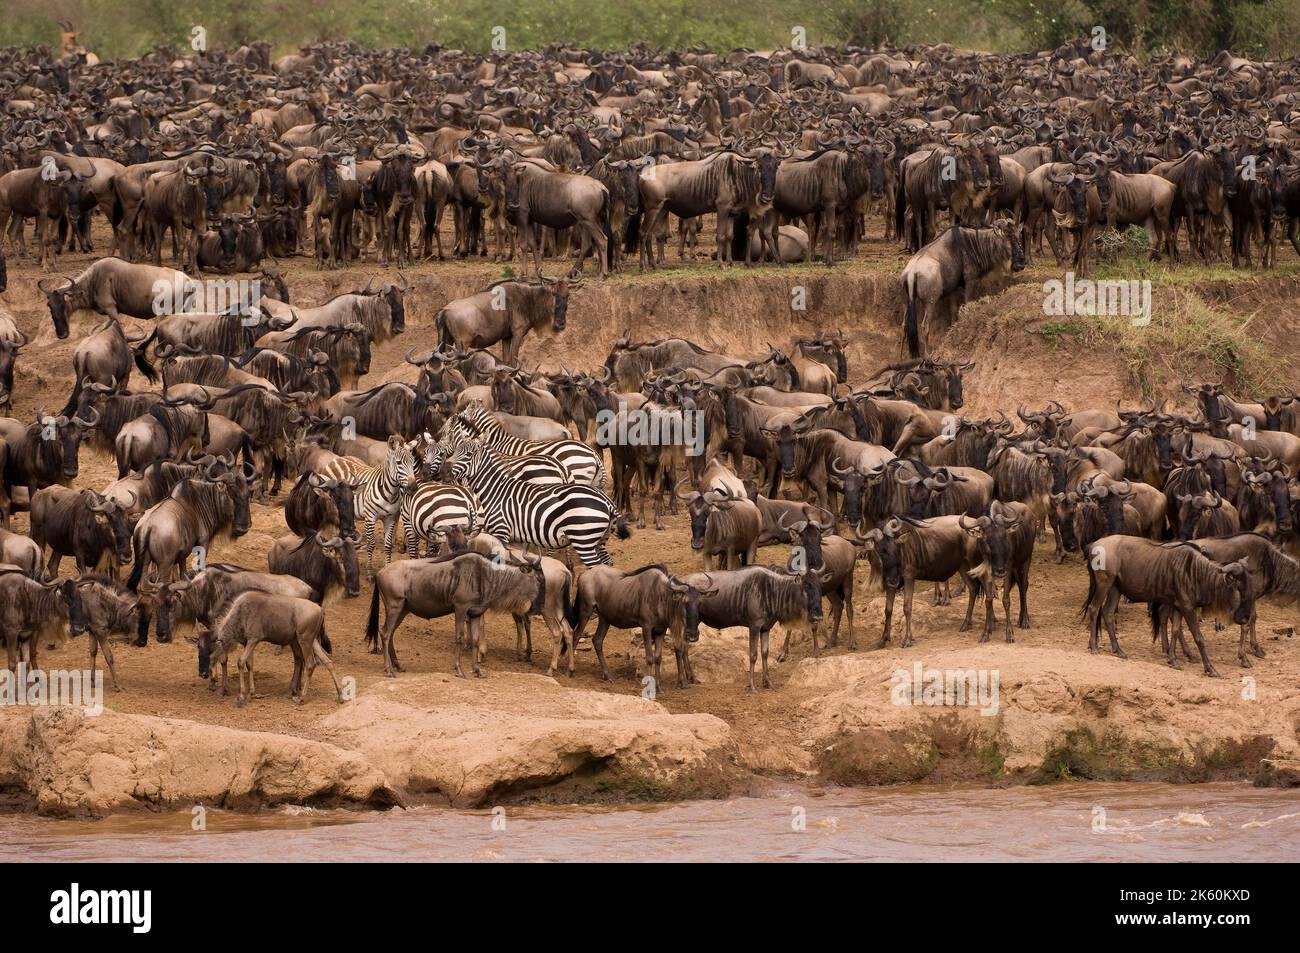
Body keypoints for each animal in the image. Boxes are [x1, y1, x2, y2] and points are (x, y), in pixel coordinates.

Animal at [315, 435, 418, 571]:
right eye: (399, 463)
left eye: (413, 462)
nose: (413, 487)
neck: (391, 494)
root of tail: (338, 458)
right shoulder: (370, 517)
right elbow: (371, 544)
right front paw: (369, 569)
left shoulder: (390, 518)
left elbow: (388, 545)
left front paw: (387, 566)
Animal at [444, 439, 629, 567]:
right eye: (453, 451)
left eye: (468, 455)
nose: (443, 470)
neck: (495, 490)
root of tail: (606, 501)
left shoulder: (501, 531)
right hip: (600, 538)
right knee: (606, 564)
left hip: (584, 539)